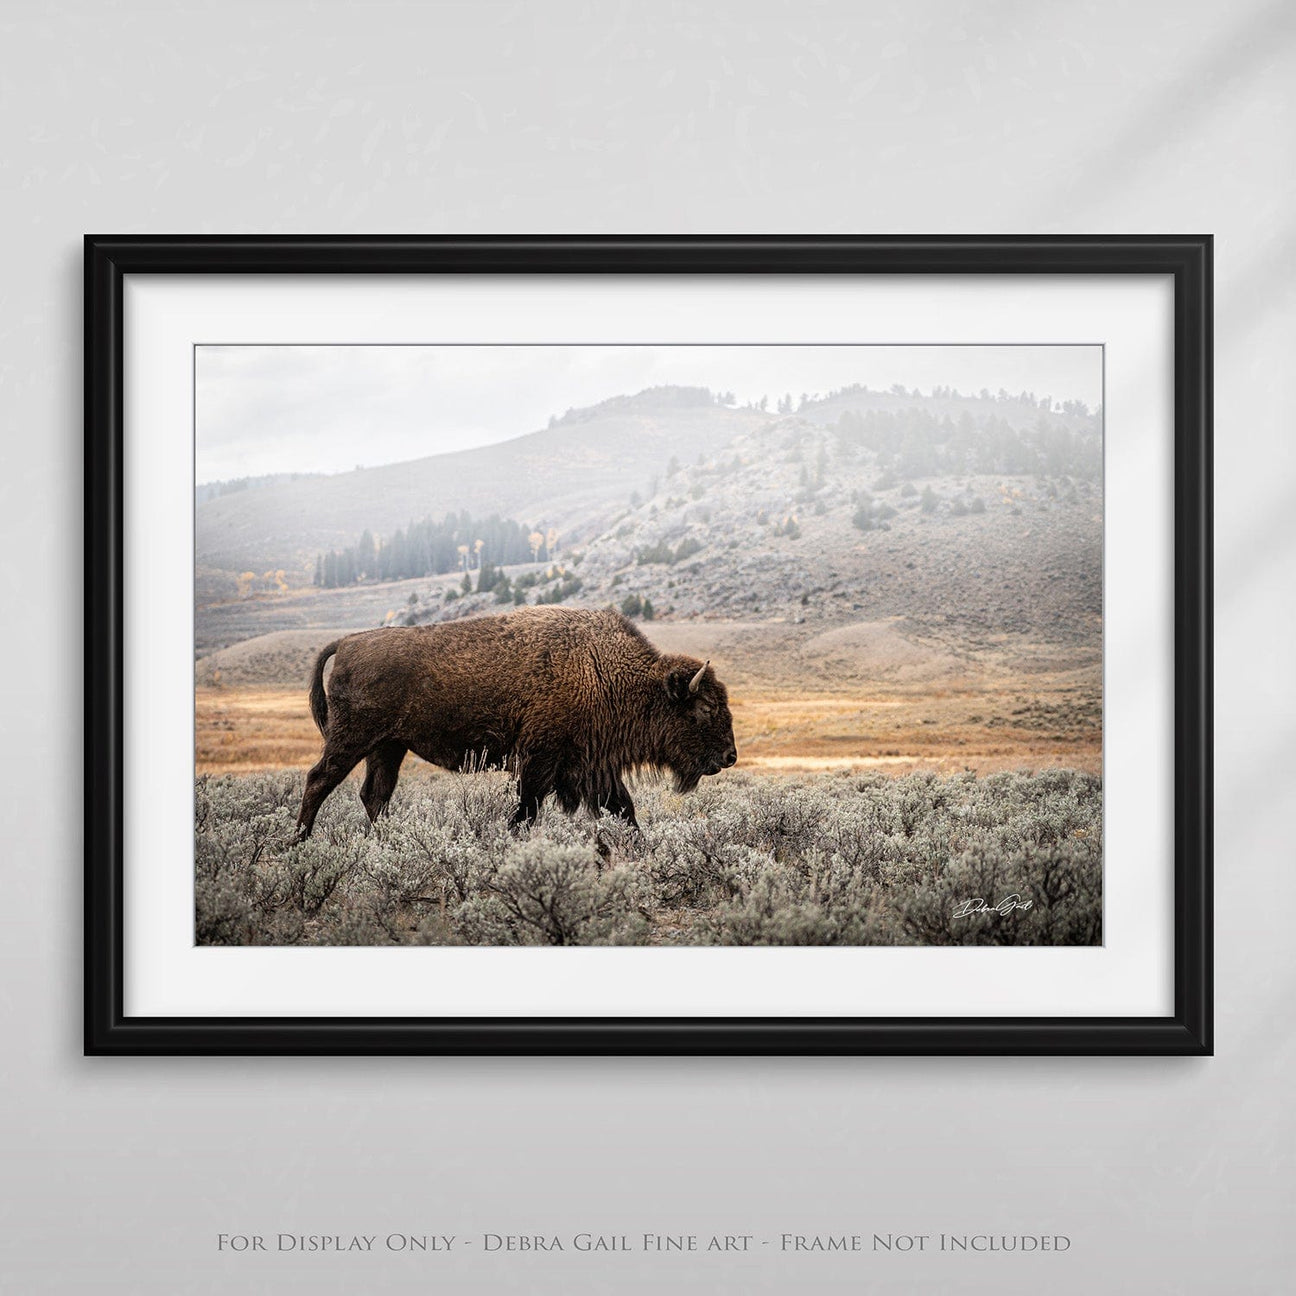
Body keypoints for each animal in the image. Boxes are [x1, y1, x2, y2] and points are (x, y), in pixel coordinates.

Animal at [295, 606, 737, 836]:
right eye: (704, 708)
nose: (730, 756)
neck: (603, 670)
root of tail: (347, 642)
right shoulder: (541, 759)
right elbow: (526, 810)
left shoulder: (595, 767)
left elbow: (624, 810)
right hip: (352, 739)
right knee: (319, 780)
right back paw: (300, 842)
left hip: (388, 746)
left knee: (375, 794)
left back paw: (386, 839)